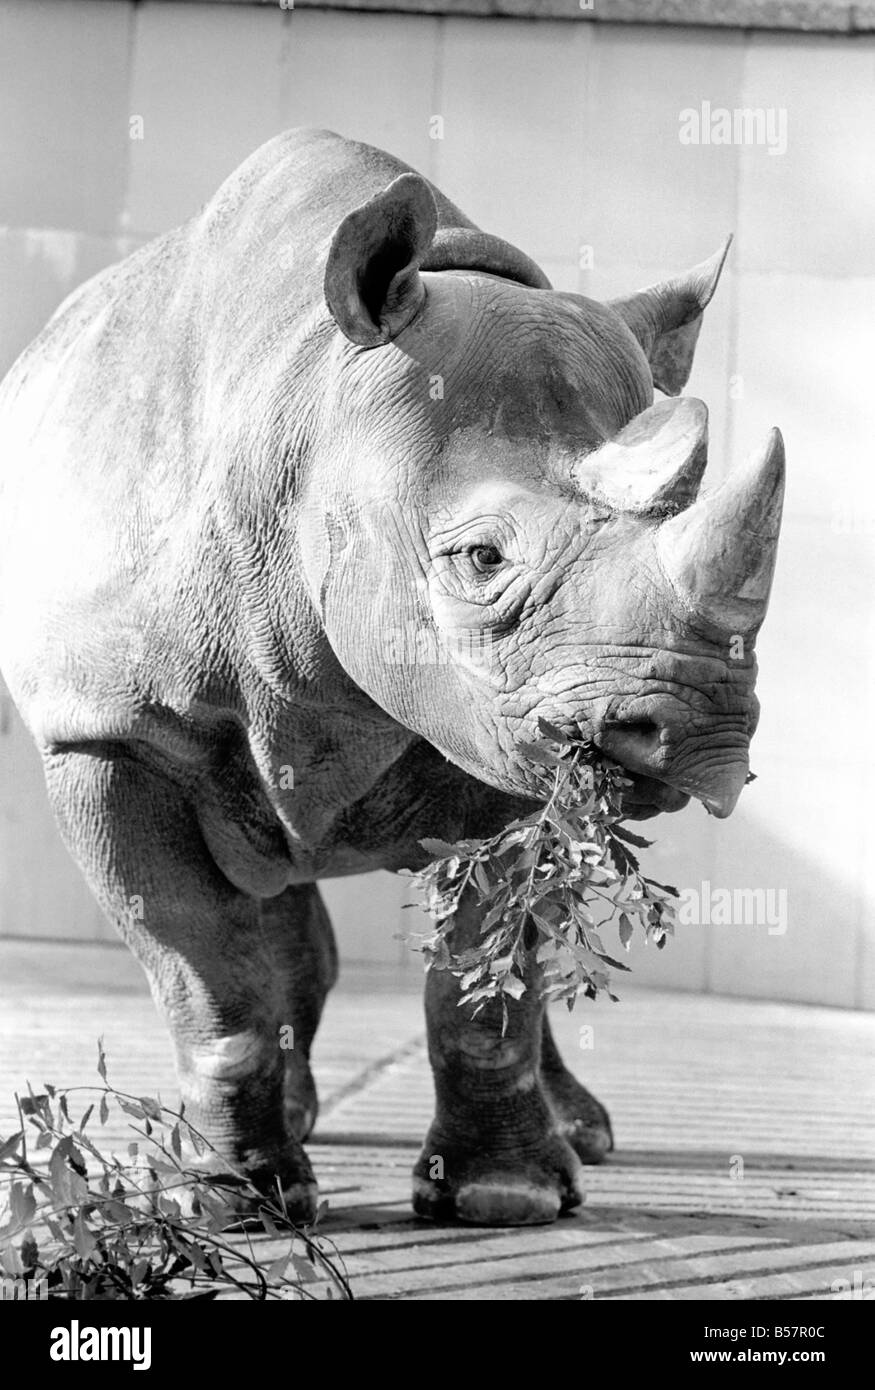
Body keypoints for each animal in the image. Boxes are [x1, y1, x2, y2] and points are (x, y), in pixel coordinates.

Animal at [0, 130, 783, 1227]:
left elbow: (487, 974)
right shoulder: (108, 726)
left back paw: (579, 1137)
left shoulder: (501, 728)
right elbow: (205, 972)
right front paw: (236, 1206)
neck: (311, 407)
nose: (699, 732)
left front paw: (502, 1195)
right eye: (480, 559)